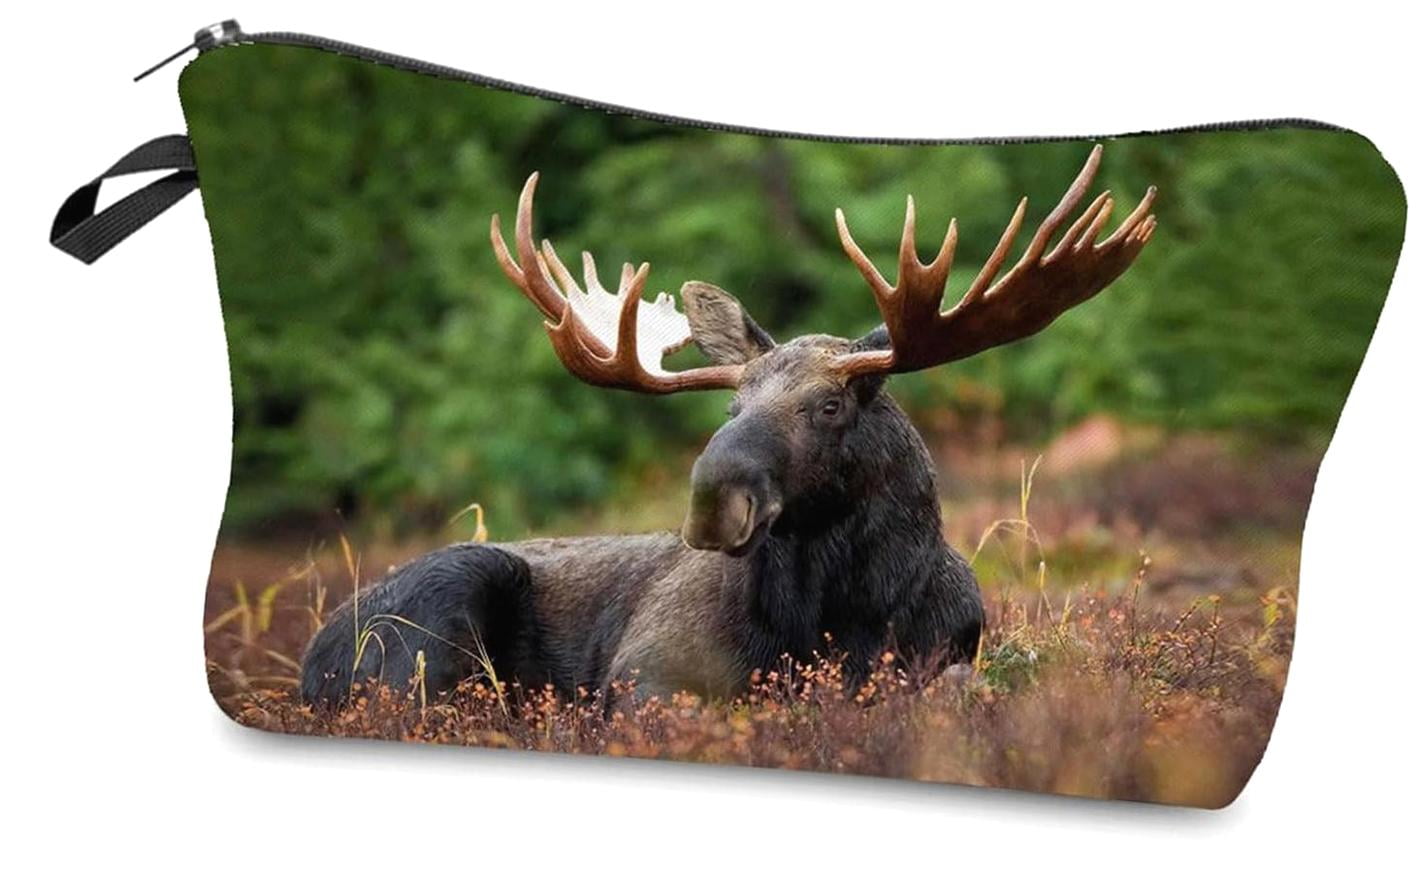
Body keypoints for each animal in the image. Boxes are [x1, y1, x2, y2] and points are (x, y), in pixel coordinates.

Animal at [299, 145, 1157, 708]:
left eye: (830, 405)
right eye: (730, 408)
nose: (713, 501)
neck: (839, 618)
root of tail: (310, 658)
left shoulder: (950, 655)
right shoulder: (645, 673)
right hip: (443, 604)